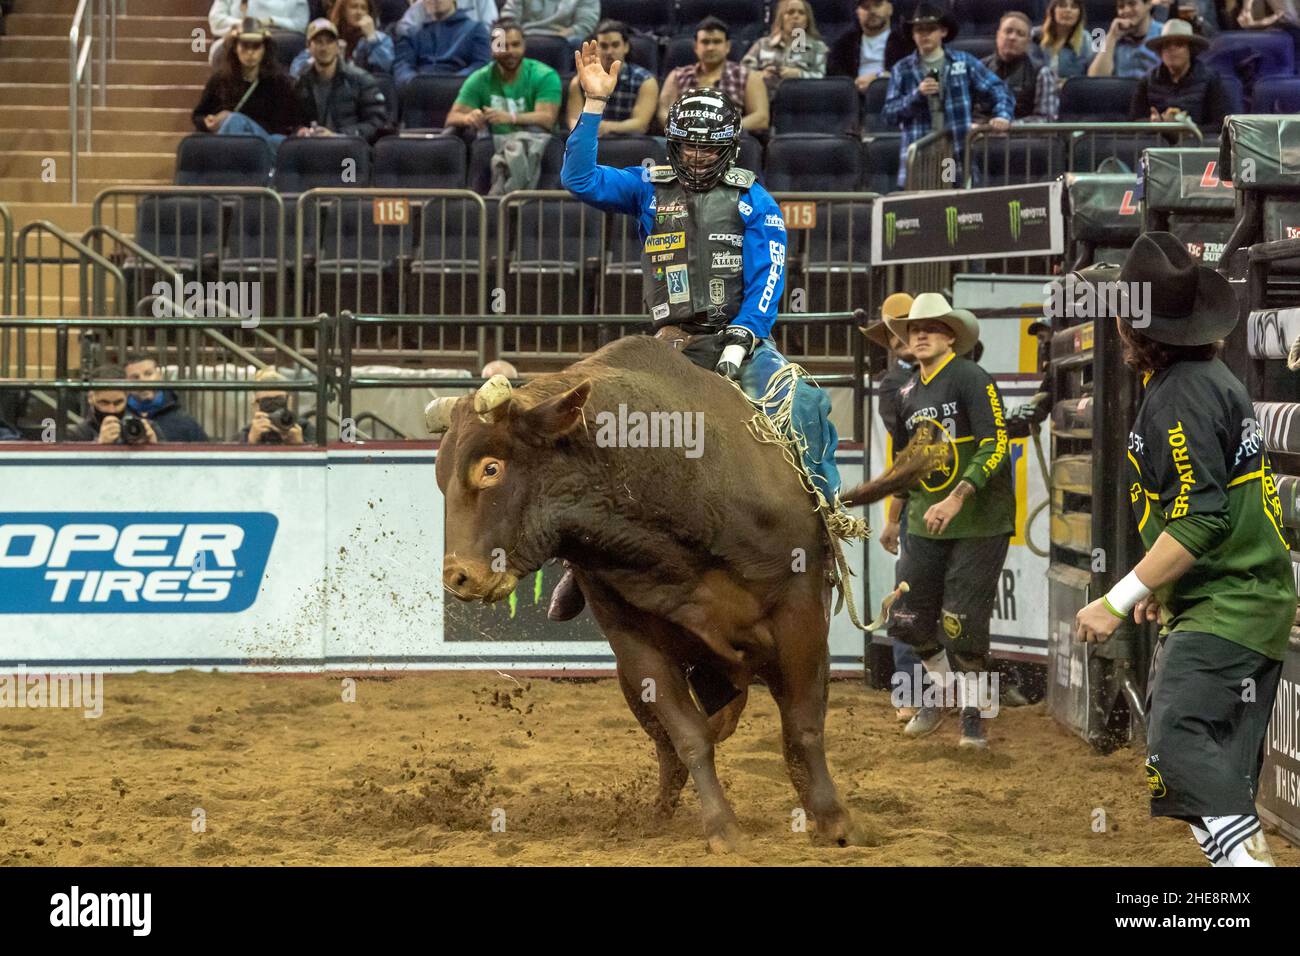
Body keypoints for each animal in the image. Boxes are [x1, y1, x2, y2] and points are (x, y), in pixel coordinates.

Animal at [430, 334, 938, 853]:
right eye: (440, 476)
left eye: (491, 468)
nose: (458, 576)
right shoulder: (633, 640)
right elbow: (689, 736)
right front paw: (722, 829)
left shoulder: (800, 615)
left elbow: (803, 724)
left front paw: (836, 820)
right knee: (669, 745)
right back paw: (658, 813)